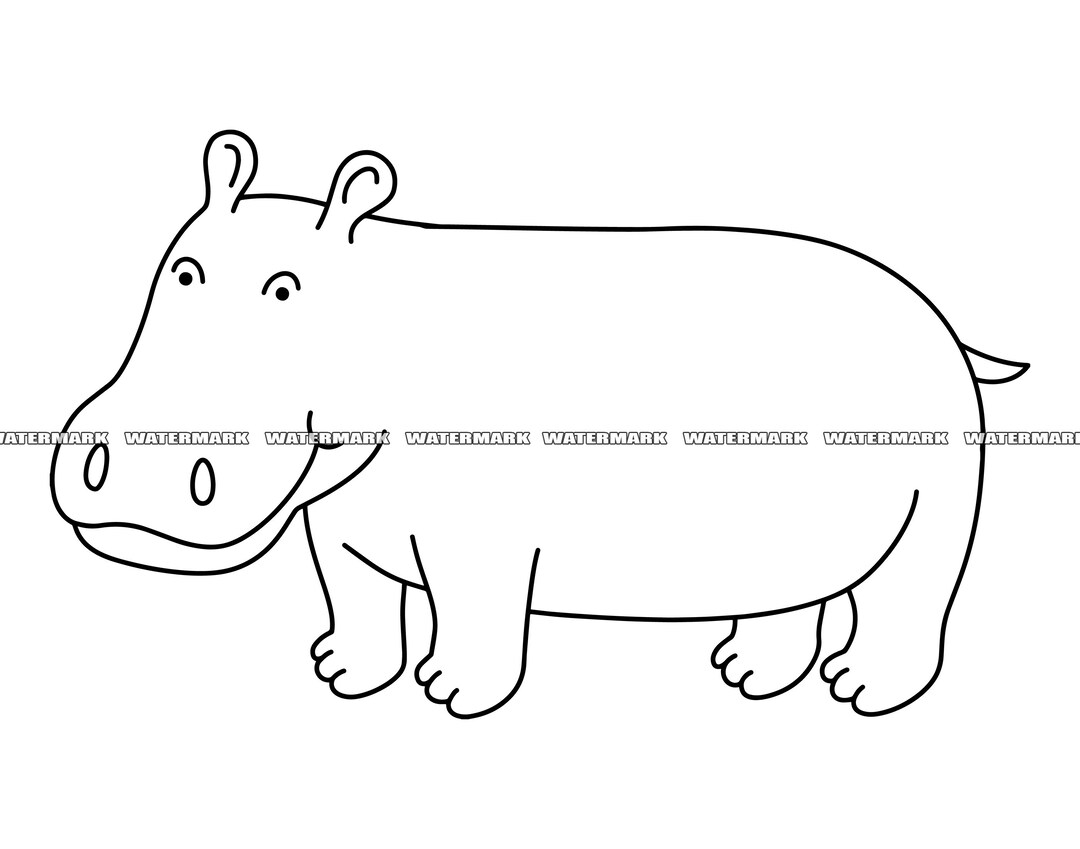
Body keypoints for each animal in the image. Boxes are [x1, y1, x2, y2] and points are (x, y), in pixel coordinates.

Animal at [51, 131, 1027, 718]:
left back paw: (863, 691)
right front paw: (340, 673)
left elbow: (472, 609)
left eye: (286, 291)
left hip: (938, 494)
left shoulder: (480, 536)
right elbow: (355, 597)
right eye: (179, 271)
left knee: (913, 590)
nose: (135, 467)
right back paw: (745, 675)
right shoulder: (335, 519)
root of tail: (938, 317)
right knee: (794, 585)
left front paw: (450, 692)